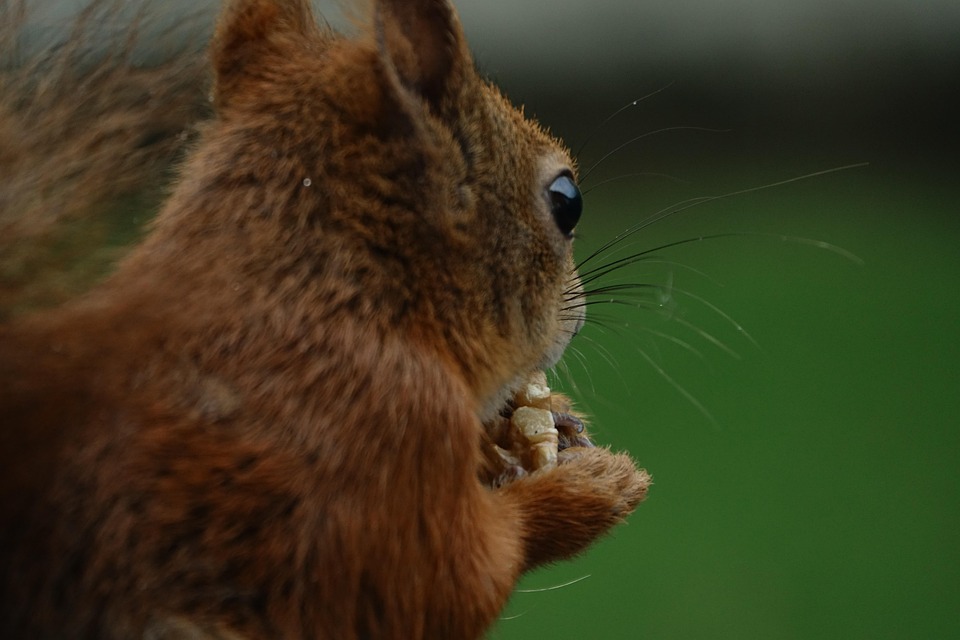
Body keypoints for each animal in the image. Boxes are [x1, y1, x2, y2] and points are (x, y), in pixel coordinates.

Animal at [0, 0, 651, 638]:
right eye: (567, 201)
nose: (577, 317)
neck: (322, 283)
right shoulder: (397, 426)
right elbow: (444, 587)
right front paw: (592, 490)